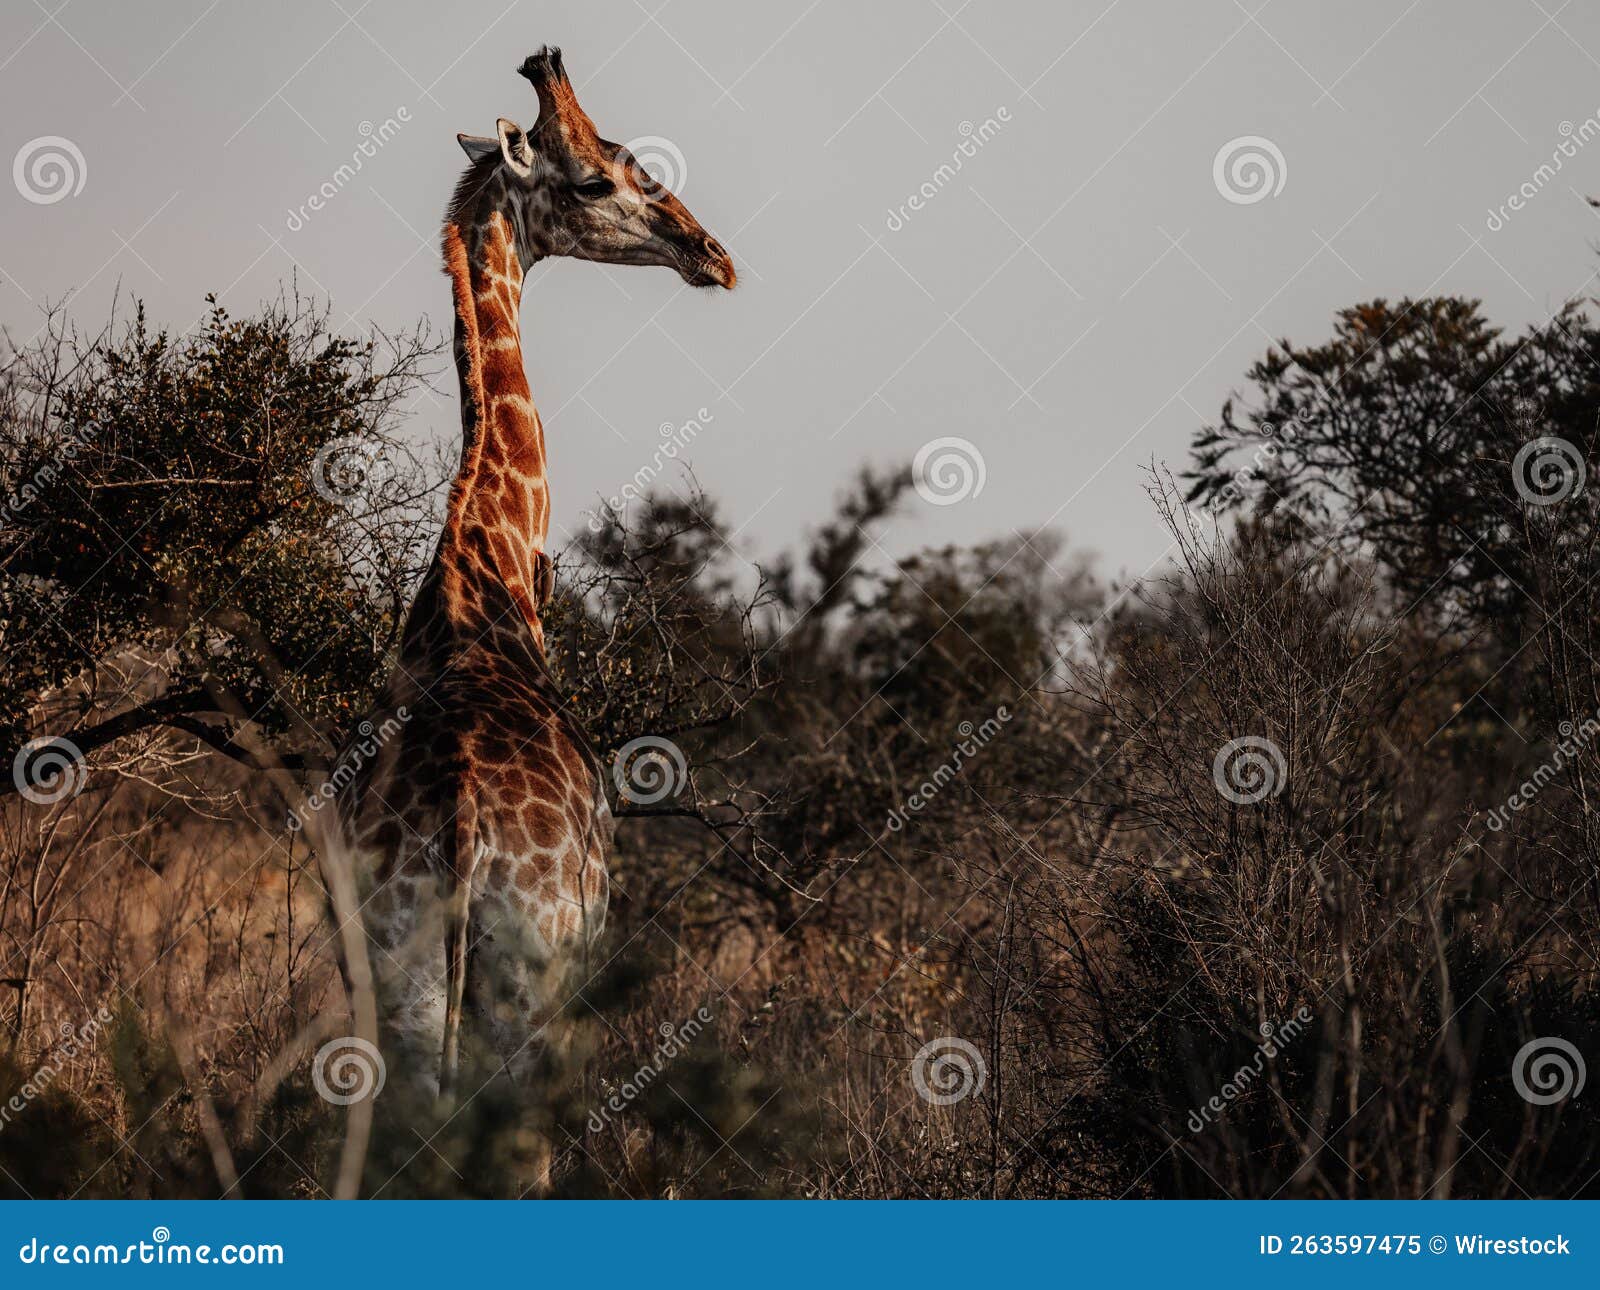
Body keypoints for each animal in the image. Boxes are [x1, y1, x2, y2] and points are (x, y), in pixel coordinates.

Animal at [336, 46, 736, 1106]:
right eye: (596, 177)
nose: (711, 253)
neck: (488, 570)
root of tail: (462, 832)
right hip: (531, 986)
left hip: (397, 986)